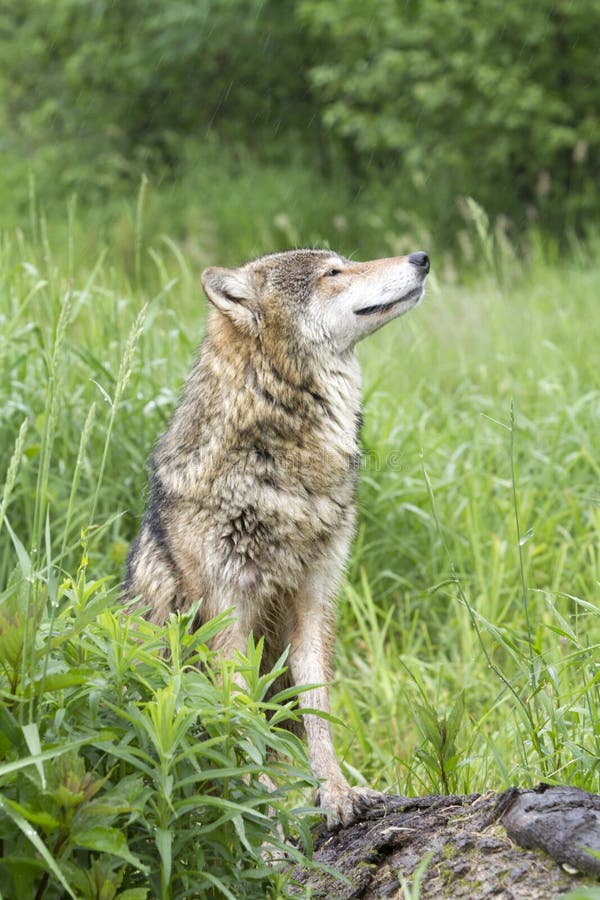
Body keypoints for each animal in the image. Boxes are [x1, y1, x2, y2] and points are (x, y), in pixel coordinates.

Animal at [124, 247, 430, 827]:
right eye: (333, 273)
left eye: (345, 263)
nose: (421, 257)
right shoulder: (228, 614)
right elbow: (240, 716)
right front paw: (259, 809)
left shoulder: (313, 601)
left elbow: (318, 712)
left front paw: (336, 792)